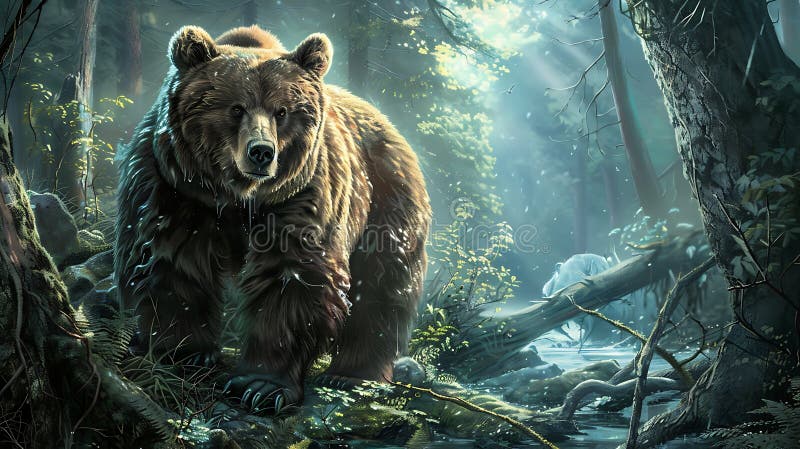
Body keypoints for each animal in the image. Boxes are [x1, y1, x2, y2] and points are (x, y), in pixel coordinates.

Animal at [114, 25, 431, 413]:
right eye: (236, 108)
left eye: (282, 111)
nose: (261, 152)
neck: (237, 196)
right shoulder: (175, 187)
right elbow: (172, 260)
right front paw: (180, 353)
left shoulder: (301, 194)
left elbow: (291, 277)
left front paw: (261, 385)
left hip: (386, 199)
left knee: (379, 285)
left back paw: (352, 375)